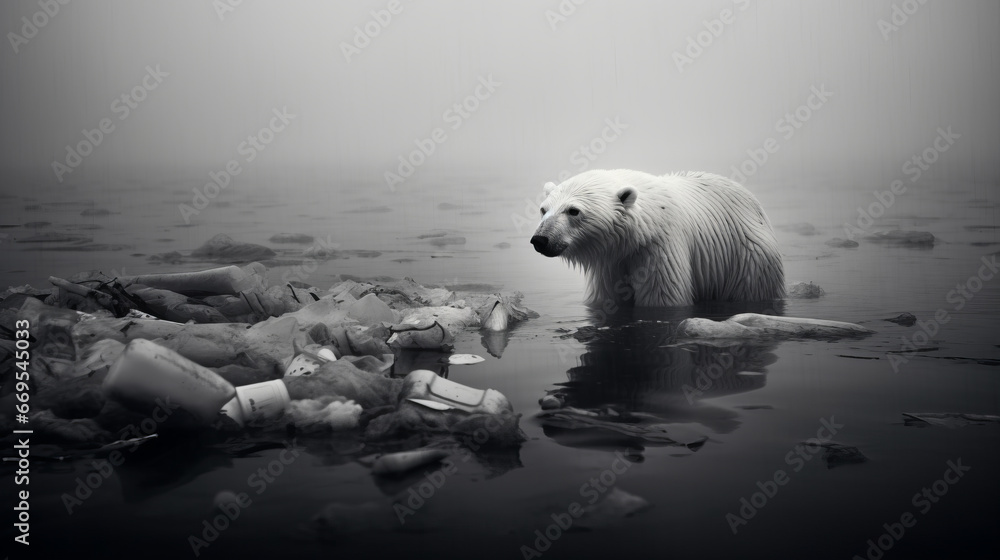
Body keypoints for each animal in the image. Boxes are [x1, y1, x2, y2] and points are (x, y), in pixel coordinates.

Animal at [529, 169, 785, 307]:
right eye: (543, 209)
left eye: (573, 210)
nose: (540, 239)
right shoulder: (609, 263)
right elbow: (606, 298)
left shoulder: (659, 249)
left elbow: (663, 296)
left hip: (748, 255)